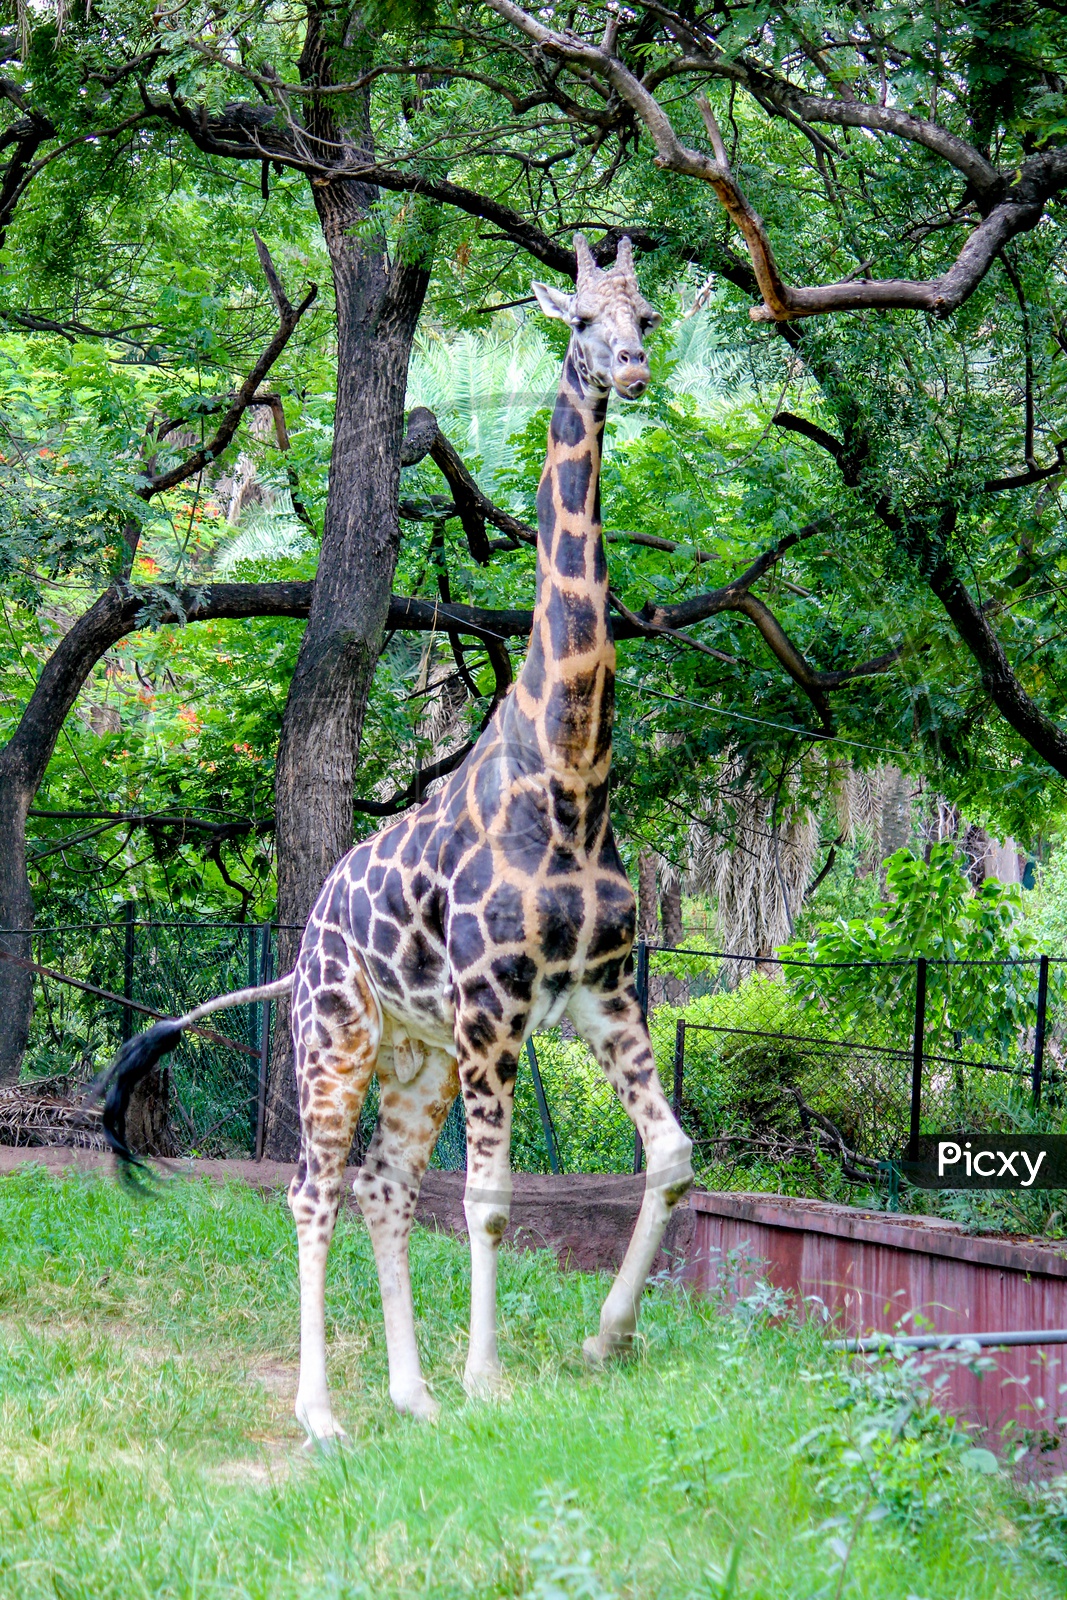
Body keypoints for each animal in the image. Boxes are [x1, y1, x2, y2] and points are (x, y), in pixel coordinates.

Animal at [99, 235, 694, 1444]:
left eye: (647, 316)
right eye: (579, 322)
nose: (628, 369)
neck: (572, 778)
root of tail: (307, 936)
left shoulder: (603, 996)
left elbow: (670, 1156)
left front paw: (602, 1340)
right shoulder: (494, 1007)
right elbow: (491, 1199)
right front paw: (487, 1378)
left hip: (412, 1052)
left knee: (383, 1184)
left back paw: (408, 1393)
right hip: (337, 1037)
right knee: (316, 1186)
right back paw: (323, 1414)